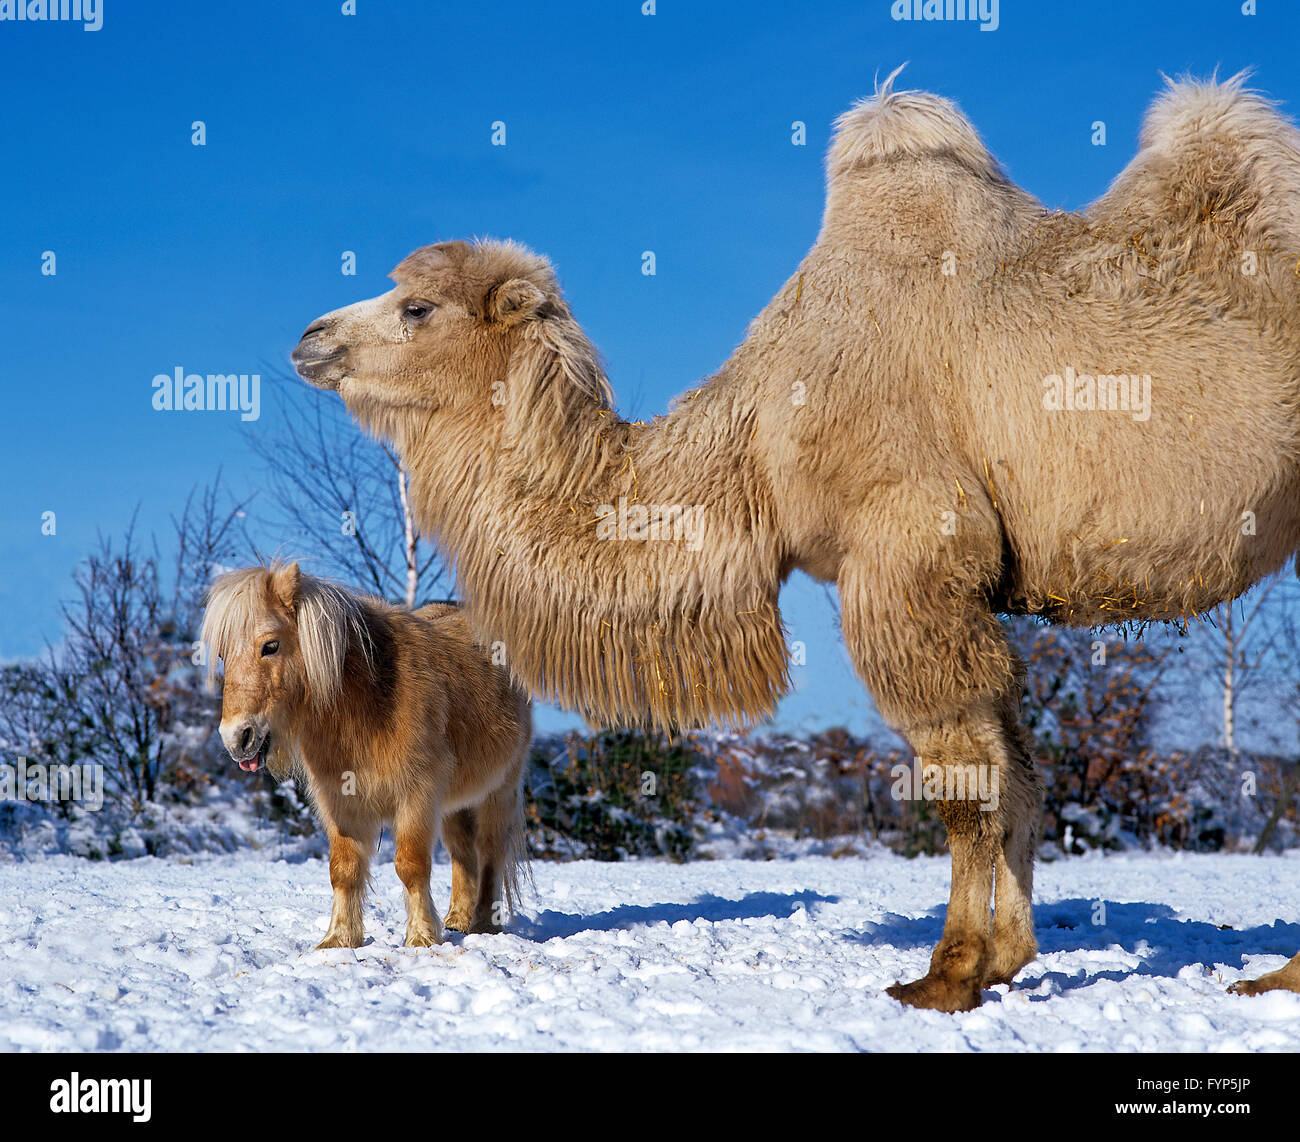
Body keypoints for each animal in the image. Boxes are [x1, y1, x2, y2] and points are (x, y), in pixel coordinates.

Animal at [203, 563, 532, 947]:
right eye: (222, 655)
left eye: (270, 646)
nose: (236, 737)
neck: (373, 700)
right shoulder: (340, 801)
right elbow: (343, 869)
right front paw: (339, 939)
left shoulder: (417, 795)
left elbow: (411, 865)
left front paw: (421, 938)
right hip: (454, 804)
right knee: (463, 853)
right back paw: (457, 919)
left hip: (499, 791)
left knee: (490, 850)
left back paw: (483, 923)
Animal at [291, 71, 1300, 1009]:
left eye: (416, 307)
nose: (309, 336)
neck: (757, 447)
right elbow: (1014, 764)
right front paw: (1006, 959)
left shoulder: (906, 550)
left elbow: (963, 776)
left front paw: (949, 975)